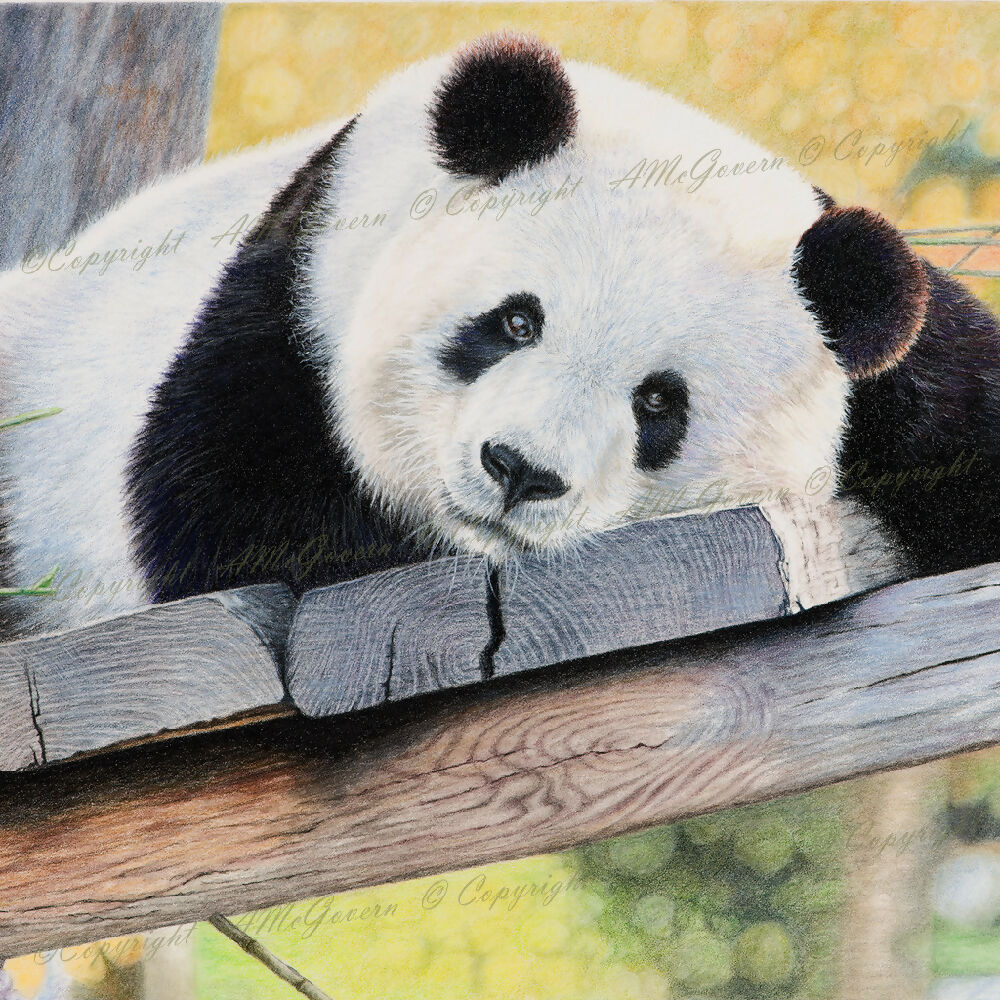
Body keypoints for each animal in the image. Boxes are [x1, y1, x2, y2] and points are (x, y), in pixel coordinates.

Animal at [1, 32, 999, 639]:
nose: (521, 471)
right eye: (515, 321)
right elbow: (233, 513)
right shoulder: (299, 289)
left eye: (659, 404)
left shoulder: (899, 377)